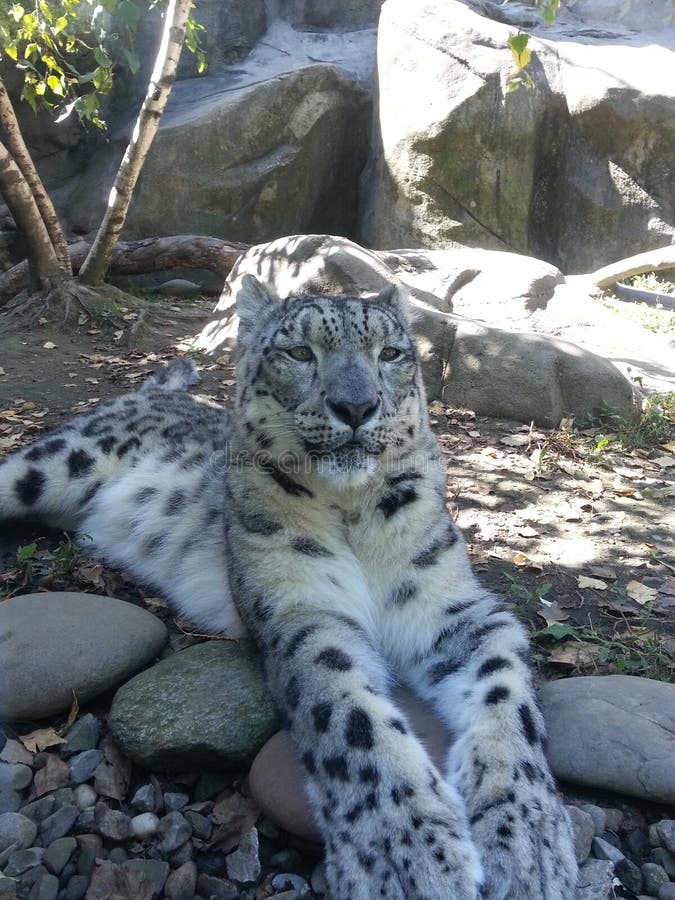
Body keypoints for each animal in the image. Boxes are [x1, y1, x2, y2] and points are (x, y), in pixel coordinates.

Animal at [0, 276, 578, 900]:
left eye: (390, 353)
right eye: (300, 352)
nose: (357, 406)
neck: (354, 515)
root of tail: (143, 397)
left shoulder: (451, 607)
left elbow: (508, 694)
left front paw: (529, 839)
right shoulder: (301, 608)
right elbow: (350, 715)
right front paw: (406, 853)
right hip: (51, 463)